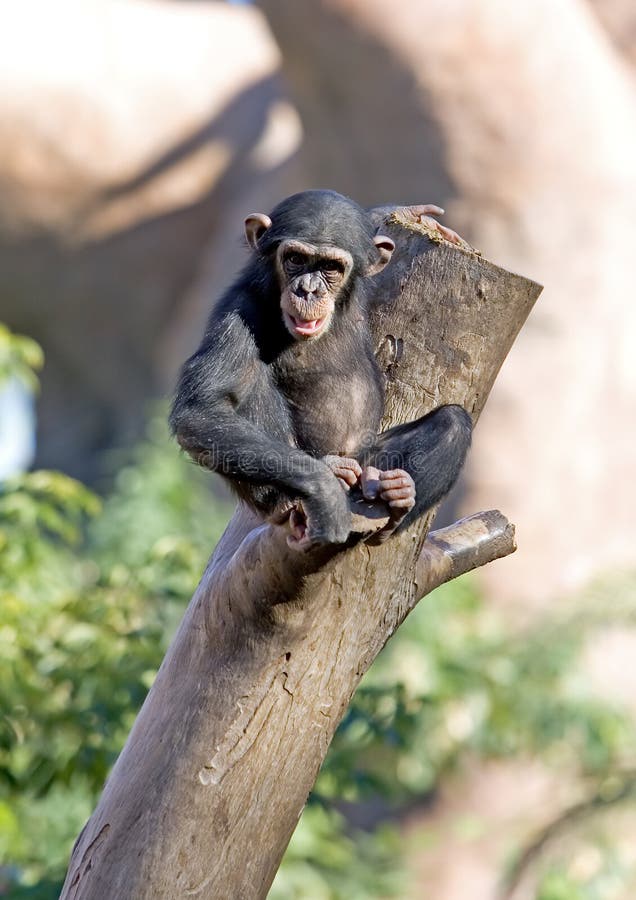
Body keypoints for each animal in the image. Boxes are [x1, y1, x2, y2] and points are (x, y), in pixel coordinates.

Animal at [170, 190, 472, 551]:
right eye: (296, 259)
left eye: (330, 266)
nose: (309, 289)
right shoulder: (237, 312)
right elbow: (201, 412)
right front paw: (324, 491)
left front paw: (408, 213)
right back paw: (305, 493)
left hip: (366, 461)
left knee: (453, 423)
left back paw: (396, 497)